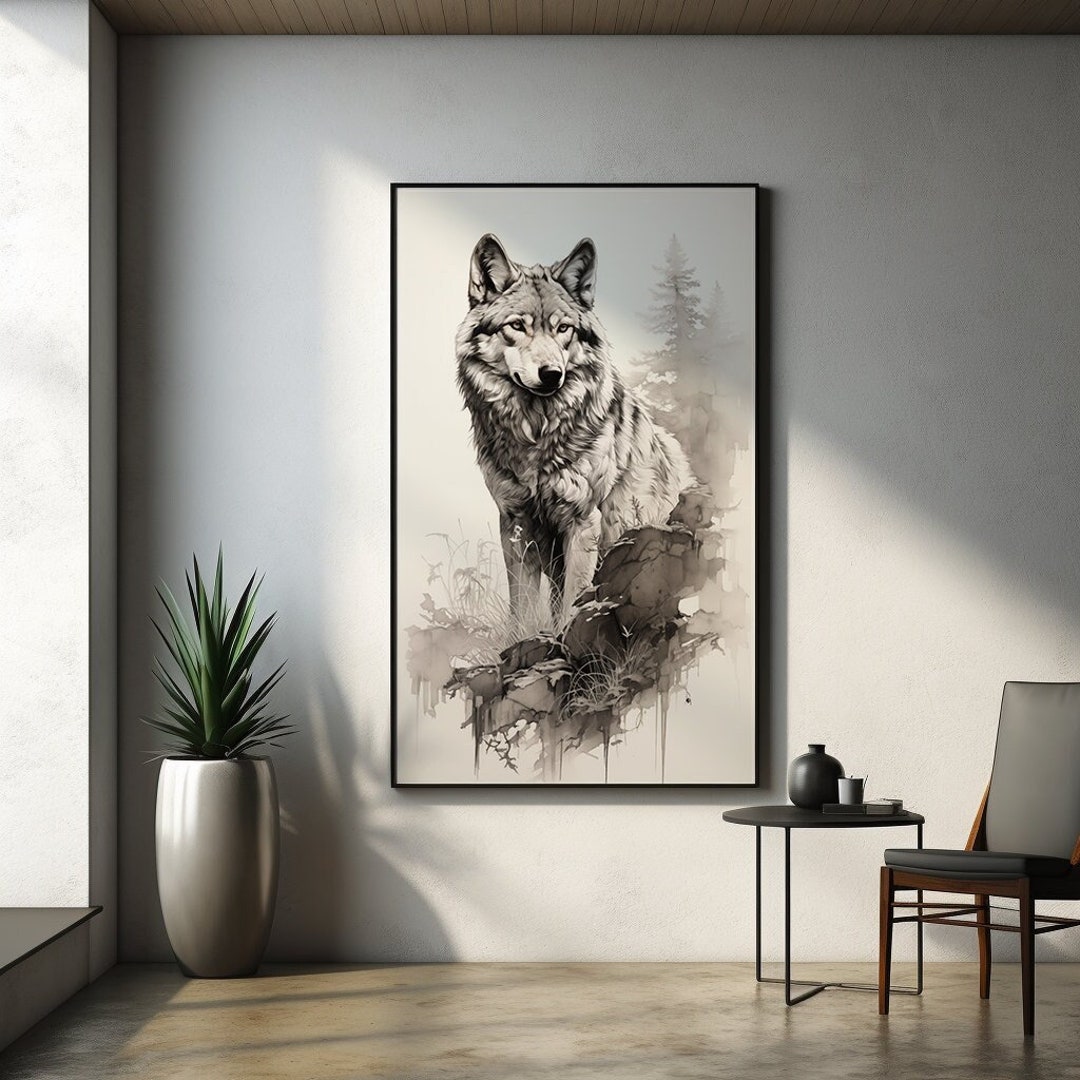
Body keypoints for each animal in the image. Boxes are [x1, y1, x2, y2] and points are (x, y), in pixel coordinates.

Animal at [456, 233, 694, 627]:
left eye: (562, 328)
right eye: (517, 326)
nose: (552, 373)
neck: (537, 435)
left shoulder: (583, 522)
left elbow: (572, 604)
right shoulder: (515, 526)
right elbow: (521, 606)